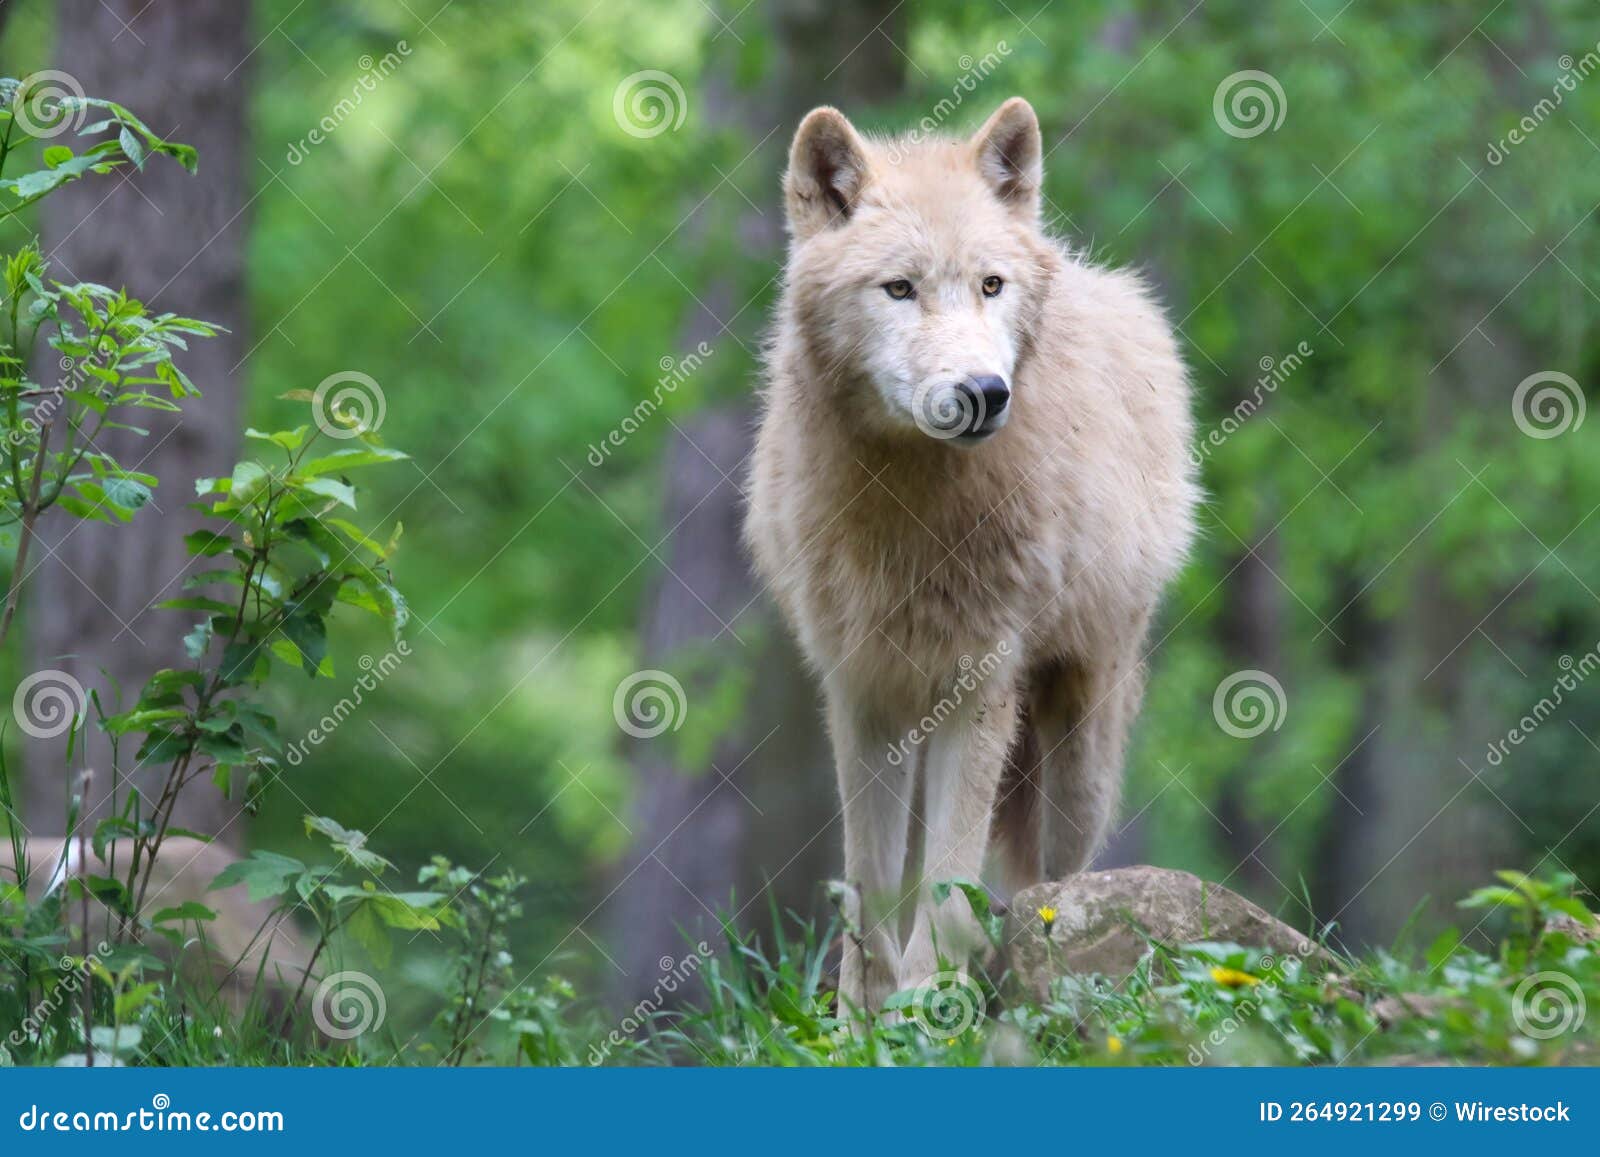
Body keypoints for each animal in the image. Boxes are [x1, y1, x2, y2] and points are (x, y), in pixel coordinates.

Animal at [743, 97, 1199, 1014]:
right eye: (900, 288)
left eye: (991, 285)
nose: (986, 392)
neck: (906, 511)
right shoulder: (863, 692)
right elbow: (870, 880)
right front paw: (859, 1018)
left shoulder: (982, 683)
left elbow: (949, 881)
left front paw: (929, 1005)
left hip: (1079, 739)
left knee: (1049, 878)